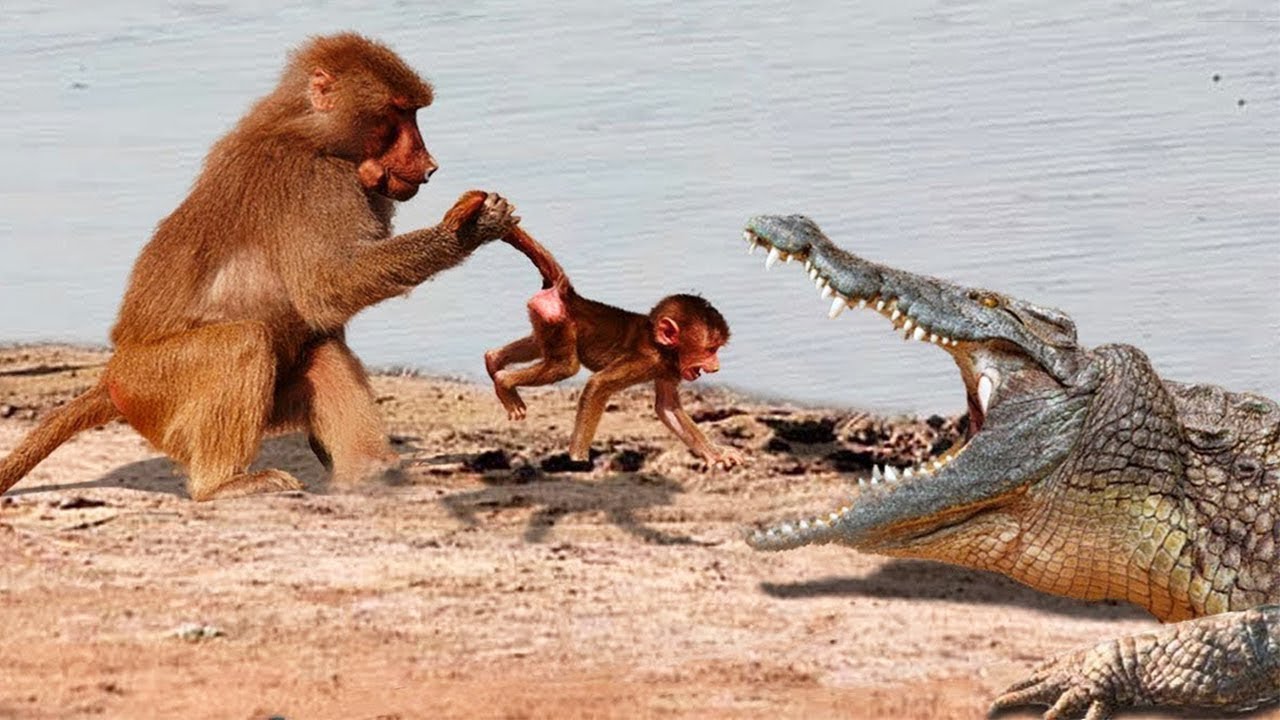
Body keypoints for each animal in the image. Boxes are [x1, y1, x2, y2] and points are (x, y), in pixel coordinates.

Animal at [0, 34, 518, 501]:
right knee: (244, 341)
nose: (429, 165)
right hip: (157, 386)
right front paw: (467, 230)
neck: (313, 135)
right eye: (398, 114)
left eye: (414, 113)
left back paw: (372, 470)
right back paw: (222, 485)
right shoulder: (318, 182)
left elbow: (324, 312)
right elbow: (329, 288)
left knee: (321, 349)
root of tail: (112, 377)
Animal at [441, 192, 742, 471]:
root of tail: (569, 294)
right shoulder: (647, 360)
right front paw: (578, 461)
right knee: (564, 366)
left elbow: (668, 408)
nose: (715, 366)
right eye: (710, 349)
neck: (660, 346)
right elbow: (597, 386)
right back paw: (504, 381)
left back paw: (494, 362)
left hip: (547, 318)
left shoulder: (668, 368)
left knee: (539, 346)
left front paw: (716, 455)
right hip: (558, 319)